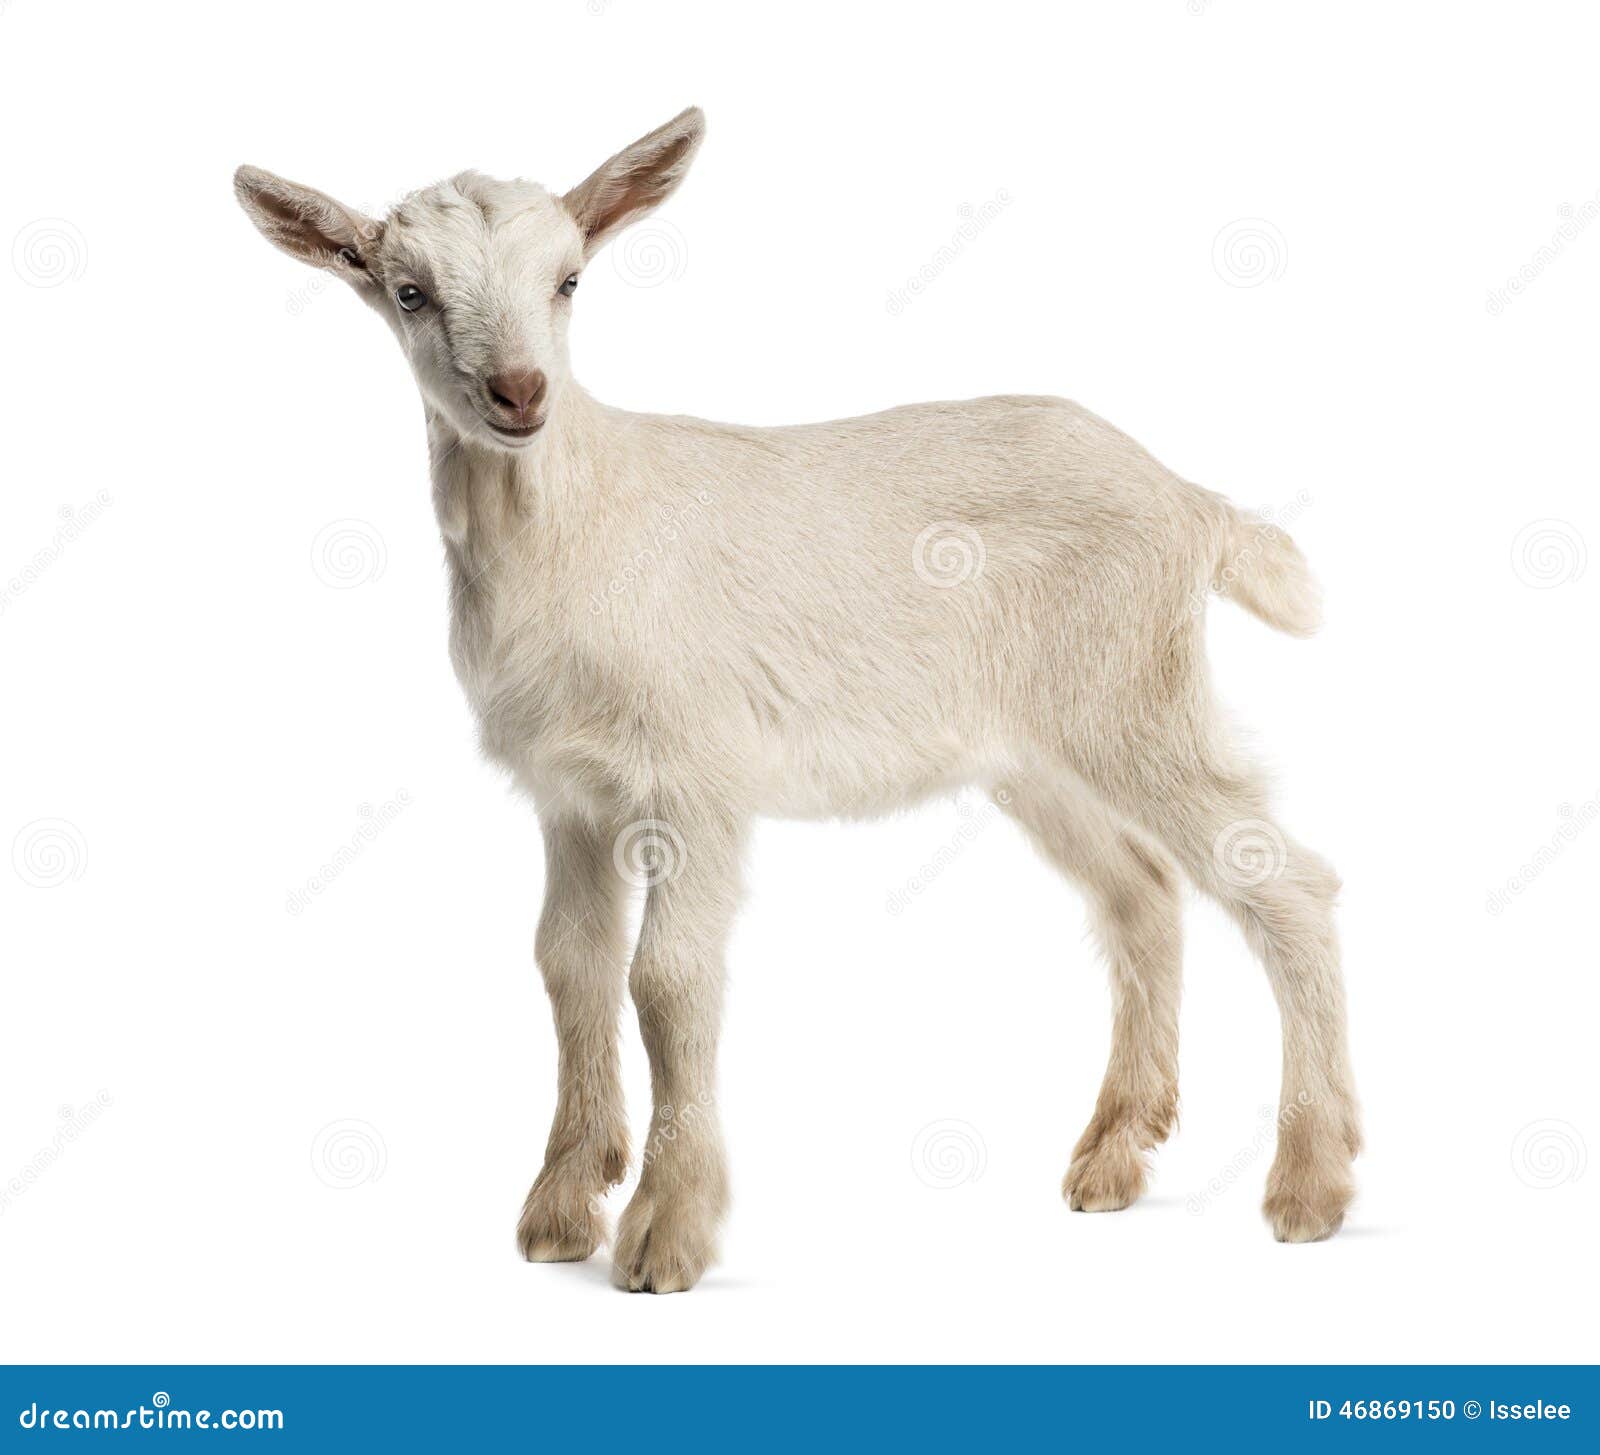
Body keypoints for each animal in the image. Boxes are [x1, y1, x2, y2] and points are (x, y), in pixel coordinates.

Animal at [235, 107, 1360, 1293]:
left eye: (569, 279)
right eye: (407, 292)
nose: (521, 394)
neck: (573, 520)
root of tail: (1191, 501)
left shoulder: (694, 775)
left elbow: (667, 978)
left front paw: (666, 1231)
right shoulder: (570, 792)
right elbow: (569, 965)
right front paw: (562, 1204)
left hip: (1135, 691)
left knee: (1287, 884)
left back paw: (1310, 1182)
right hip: (1033, 750)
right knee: (1140, 892)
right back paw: (1112, 1156)